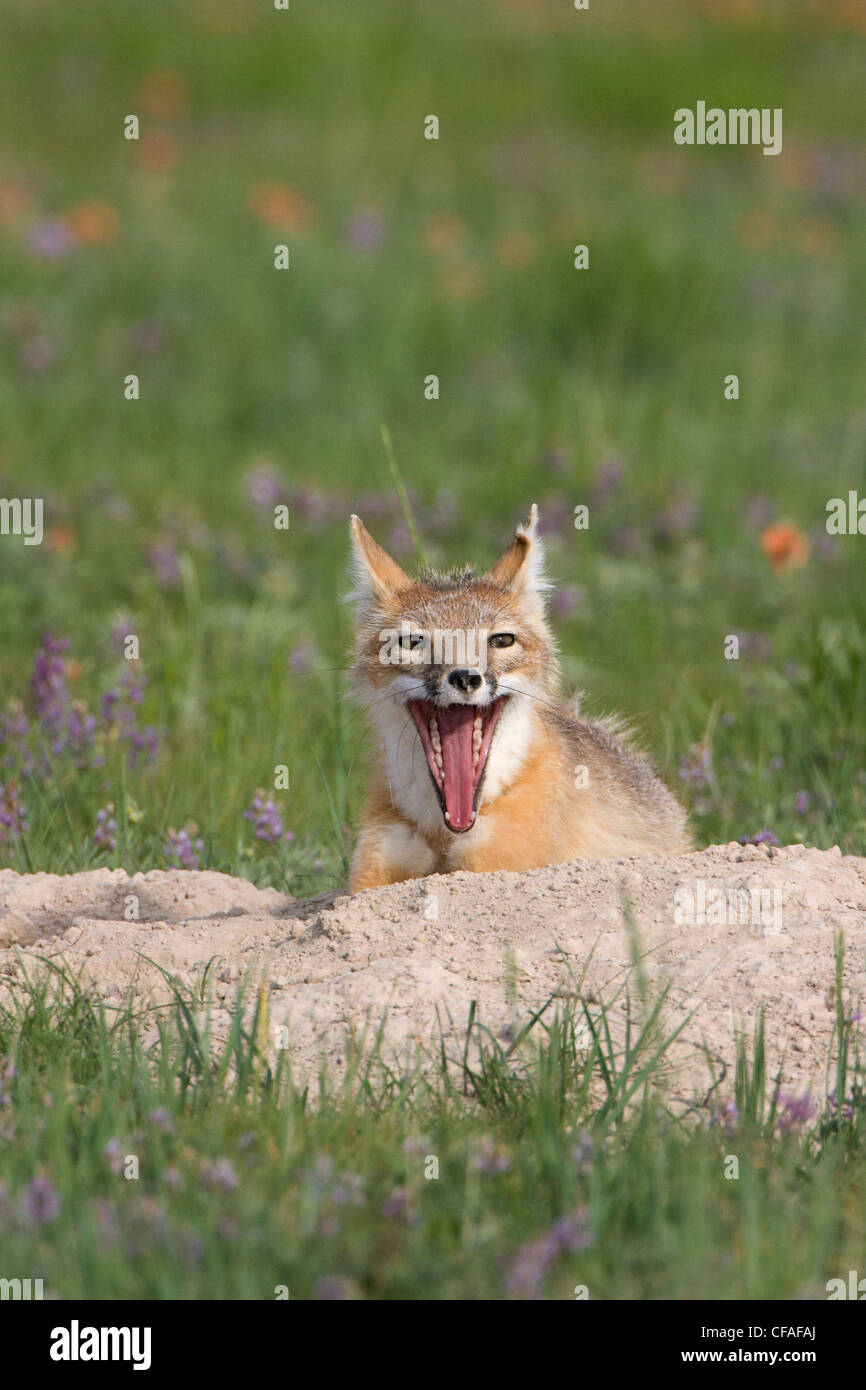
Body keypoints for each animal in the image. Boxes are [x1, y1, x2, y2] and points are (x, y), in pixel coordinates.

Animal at [347, 504, 692, 893]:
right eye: (412, 642)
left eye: (501, 640)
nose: (466, 677)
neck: (443, 831)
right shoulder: (374, 868)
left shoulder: (496, 863)